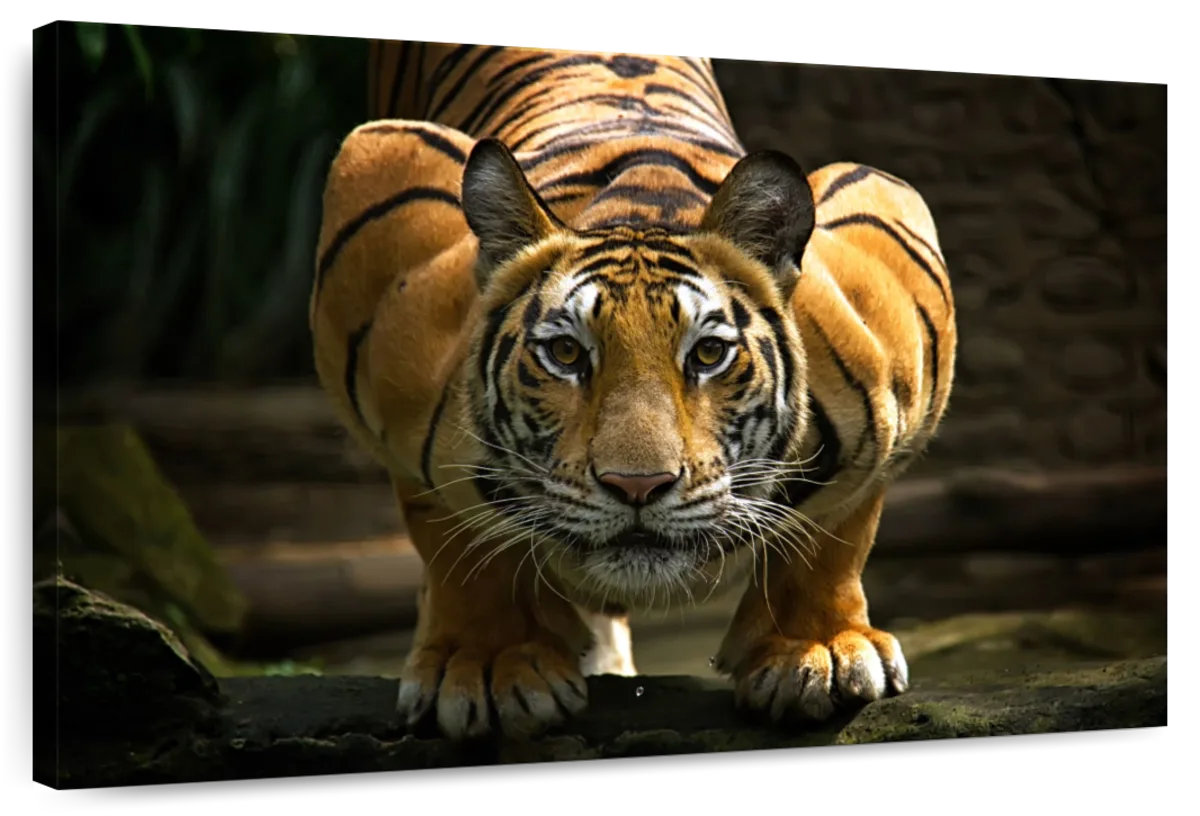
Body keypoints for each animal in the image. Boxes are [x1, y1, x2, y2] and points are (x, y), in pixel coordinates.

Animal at [311, 41, 956, 740]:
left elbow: (837, 528)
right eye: (566, 353)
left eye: (708, 354)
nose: (638, 487)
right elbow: (460, 538)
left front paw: (817, 649)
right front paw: (488, 662)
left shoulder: (887, 240)